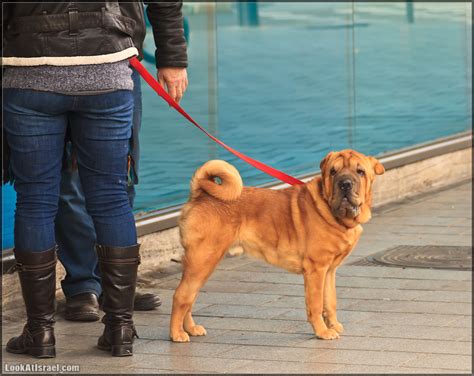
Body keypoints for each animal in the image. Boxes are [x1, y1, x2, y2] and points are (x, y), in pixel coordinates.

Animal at [170, 149, 386, 340]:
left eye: (360, 171)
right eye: (333, 171)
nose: (345, 184)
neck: (333, 213)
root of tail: (199, 194)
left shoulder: (329, 270)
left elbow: (330, 301)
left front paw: (333, 325)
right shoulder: (316, 270)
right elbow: (316, 305)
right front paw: (322, 332)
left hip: (202, 265)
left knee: (189, 298)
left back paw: (191, 329)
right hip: (203, 260)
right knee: (181, 296)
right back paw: (176, 334)